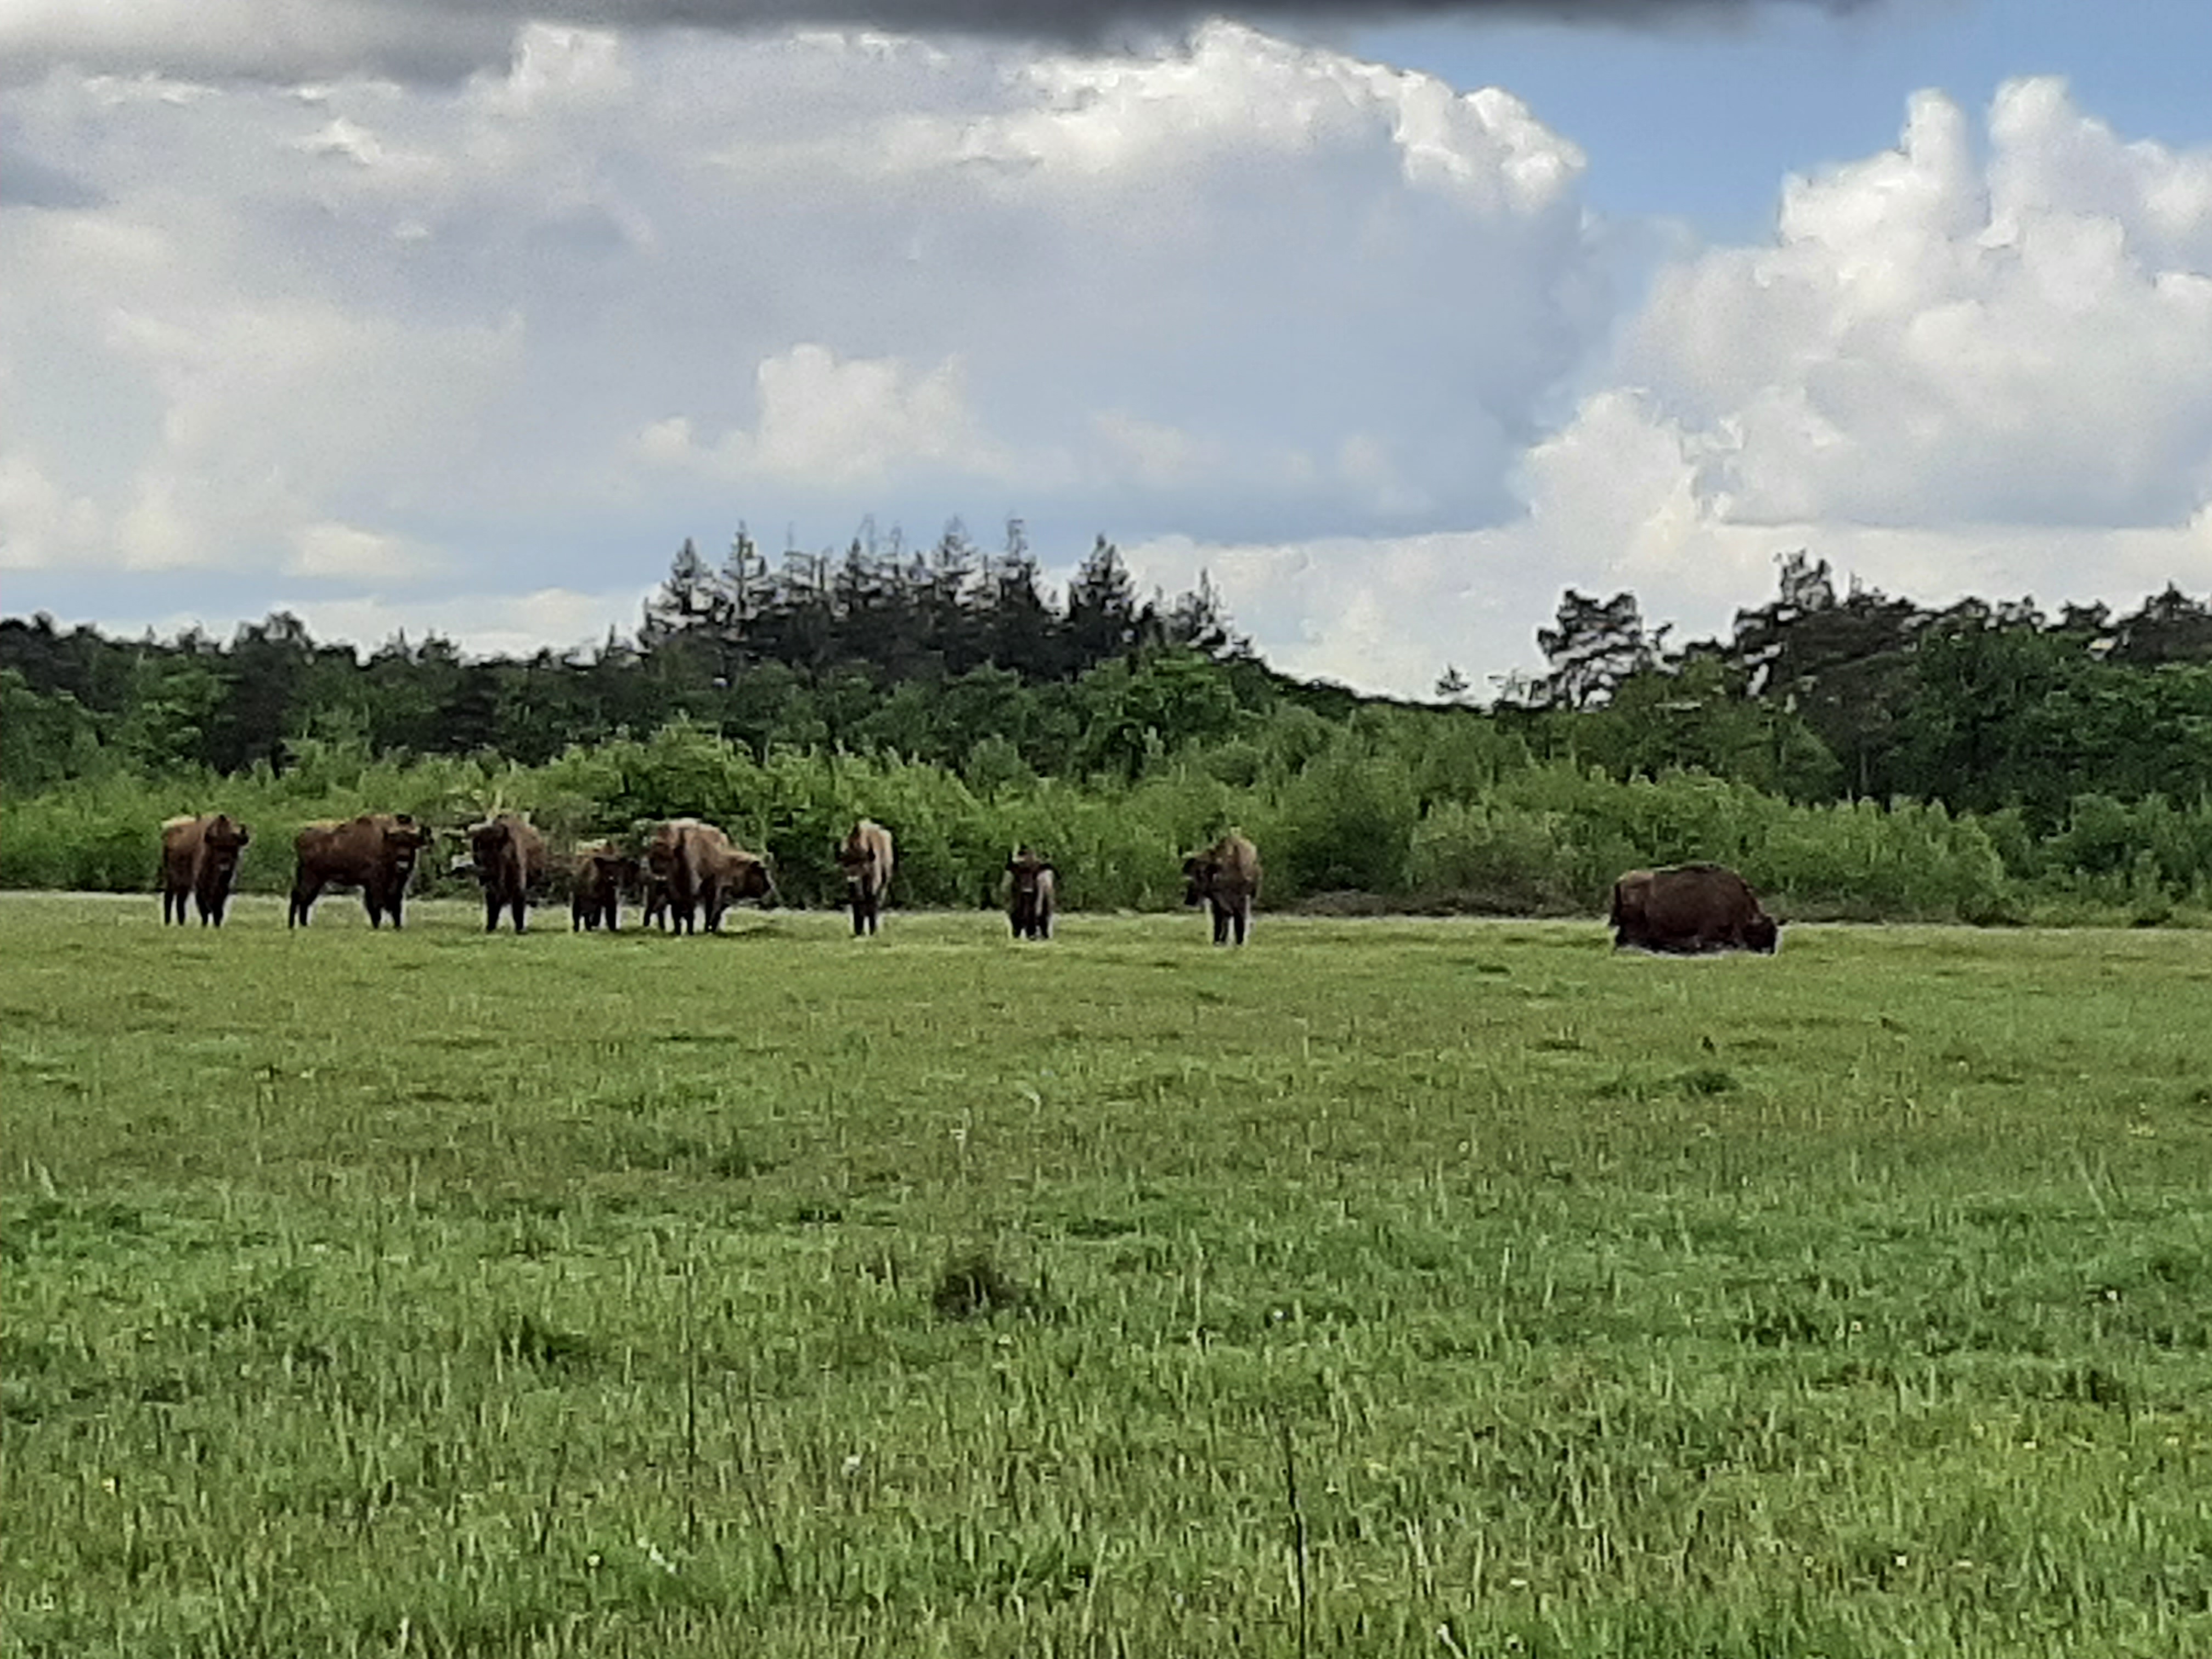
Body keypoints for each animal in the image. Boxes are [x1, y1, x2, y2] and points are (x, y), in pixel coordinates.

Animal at [160, 813, 250, 926]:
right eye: (217, 847)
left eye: (234, 848)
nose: (224, 867)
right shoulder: (200, 884)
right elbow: (204, 908)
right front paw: (204, 925)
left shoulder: (224, 886)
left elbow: (218, 908)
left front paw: (217, 924)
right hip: (172, 878)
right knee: (169, 897)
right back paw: (167, 922)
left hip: (184, 884)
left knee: (180, 900)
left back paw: (182, 923)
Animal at [288, 813, 435, 929]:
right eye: (396, 844)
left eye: (412, 845)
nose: (402, 864)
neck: (385, 843)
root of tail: (300, 838)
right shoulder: (375, 883)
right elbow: (375, 904)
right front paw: (377, 926)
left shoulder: (398, 883)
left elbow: (396, 904)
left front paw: (397, 926)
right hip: (311, 877)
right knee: (299, 896)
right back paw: (293, 926)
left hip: (316, 880)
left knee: (304, 899)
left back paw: (303, 925)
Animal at [837, 819, 895, 937]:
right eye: (846, 864)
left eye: (862, 863)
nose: (852, 881)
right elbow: (858, 906)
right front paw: (858, 931)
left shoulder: (873, 884)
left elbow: (871, 903)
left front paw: (873, 930)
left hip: (884, 884)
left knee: (875, 903)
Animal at [1007, 847, 1056, 941]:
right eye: (1020, 871)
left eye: (1035, 872)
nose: (1027, 891)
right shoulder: (1013, 914)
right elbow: (1016, 928)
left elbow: (1032, 928)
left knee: (1044, 927)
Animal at [1183, 831, 1261, 946]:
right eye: (1192, 872)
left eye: (1201, 873)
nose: (1189, 900)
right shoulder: (1220, 900)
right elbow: (1225, 918)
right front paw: (1222, 940)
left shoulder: (1237, 899)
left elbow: (1233, 919)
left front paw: (1235, 941)